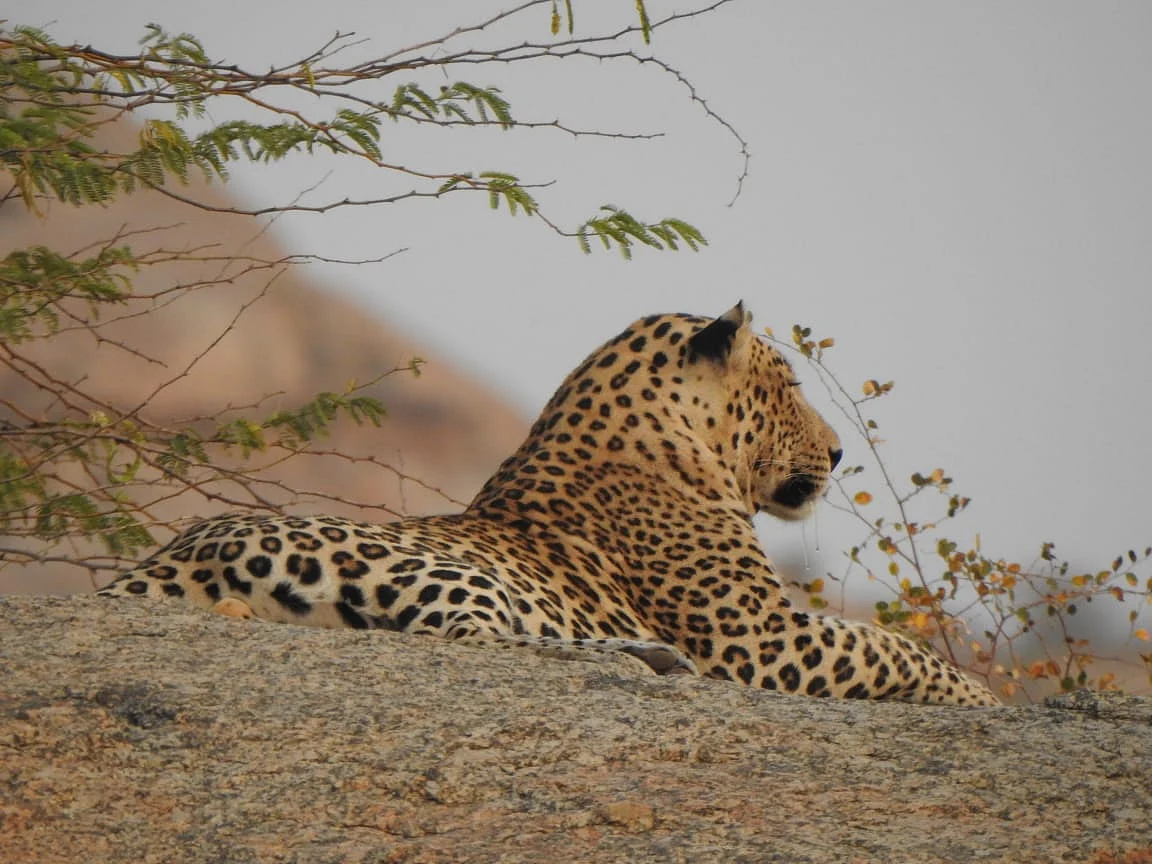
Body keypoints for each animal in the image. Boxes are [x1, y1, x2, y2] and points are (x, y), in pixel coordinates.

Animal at [98, 302, 999, 706]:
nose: (840, 452)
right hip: (447, 575)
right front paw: (980, 697)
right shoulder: (756, 636)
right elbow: (892, 646)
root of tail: (169, 559)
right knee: (477, 644)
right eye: (788, 387)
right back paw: (644, 656)